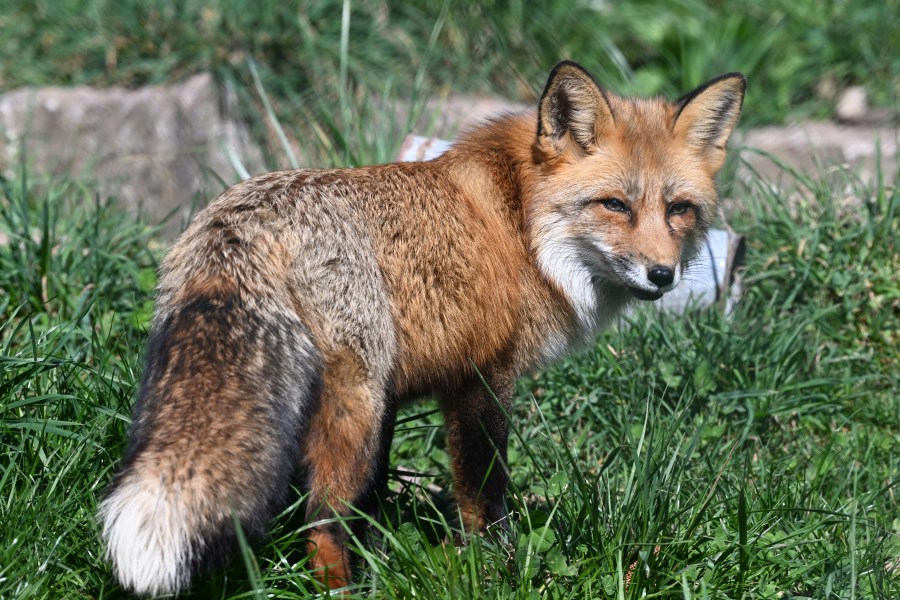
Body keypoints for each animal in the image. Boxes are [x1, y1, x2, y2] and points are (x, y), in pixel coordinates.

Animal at [100, 61, 745, 595]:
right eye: (615, 205)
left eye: (678, 209)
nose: (662, 274)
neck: (522, 226)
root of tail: (237, 221)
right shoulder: (481, 379)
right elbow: (484, 494)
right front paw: (495, 567)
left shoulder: (399, 393)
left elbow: (375, 503)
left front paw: (383, 561)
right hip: (355, 405)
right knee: (322, 517)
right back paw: (342, 592)